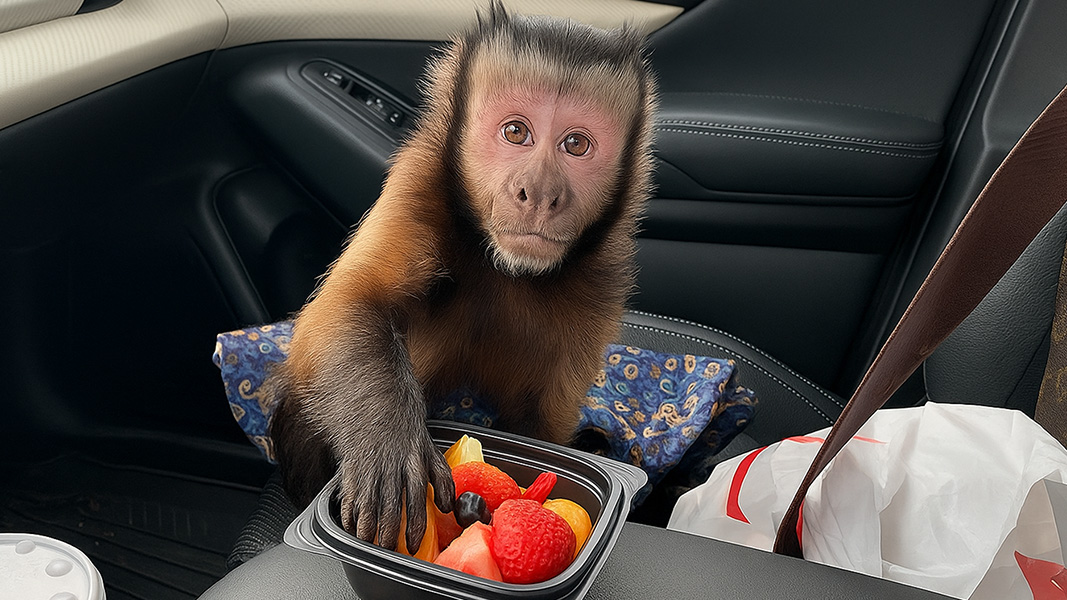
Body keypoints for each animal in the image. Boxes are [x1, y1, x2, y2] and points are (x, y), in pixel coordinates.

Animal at [268, 3, 657, 554]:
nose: (538, 191)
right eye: (516, 132)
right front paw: (390, 441)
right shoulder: (417, 186)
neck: (501, 262)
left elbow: (541, 422)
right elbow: (350, 304)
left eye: (576, 144)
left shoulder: (605, 269)